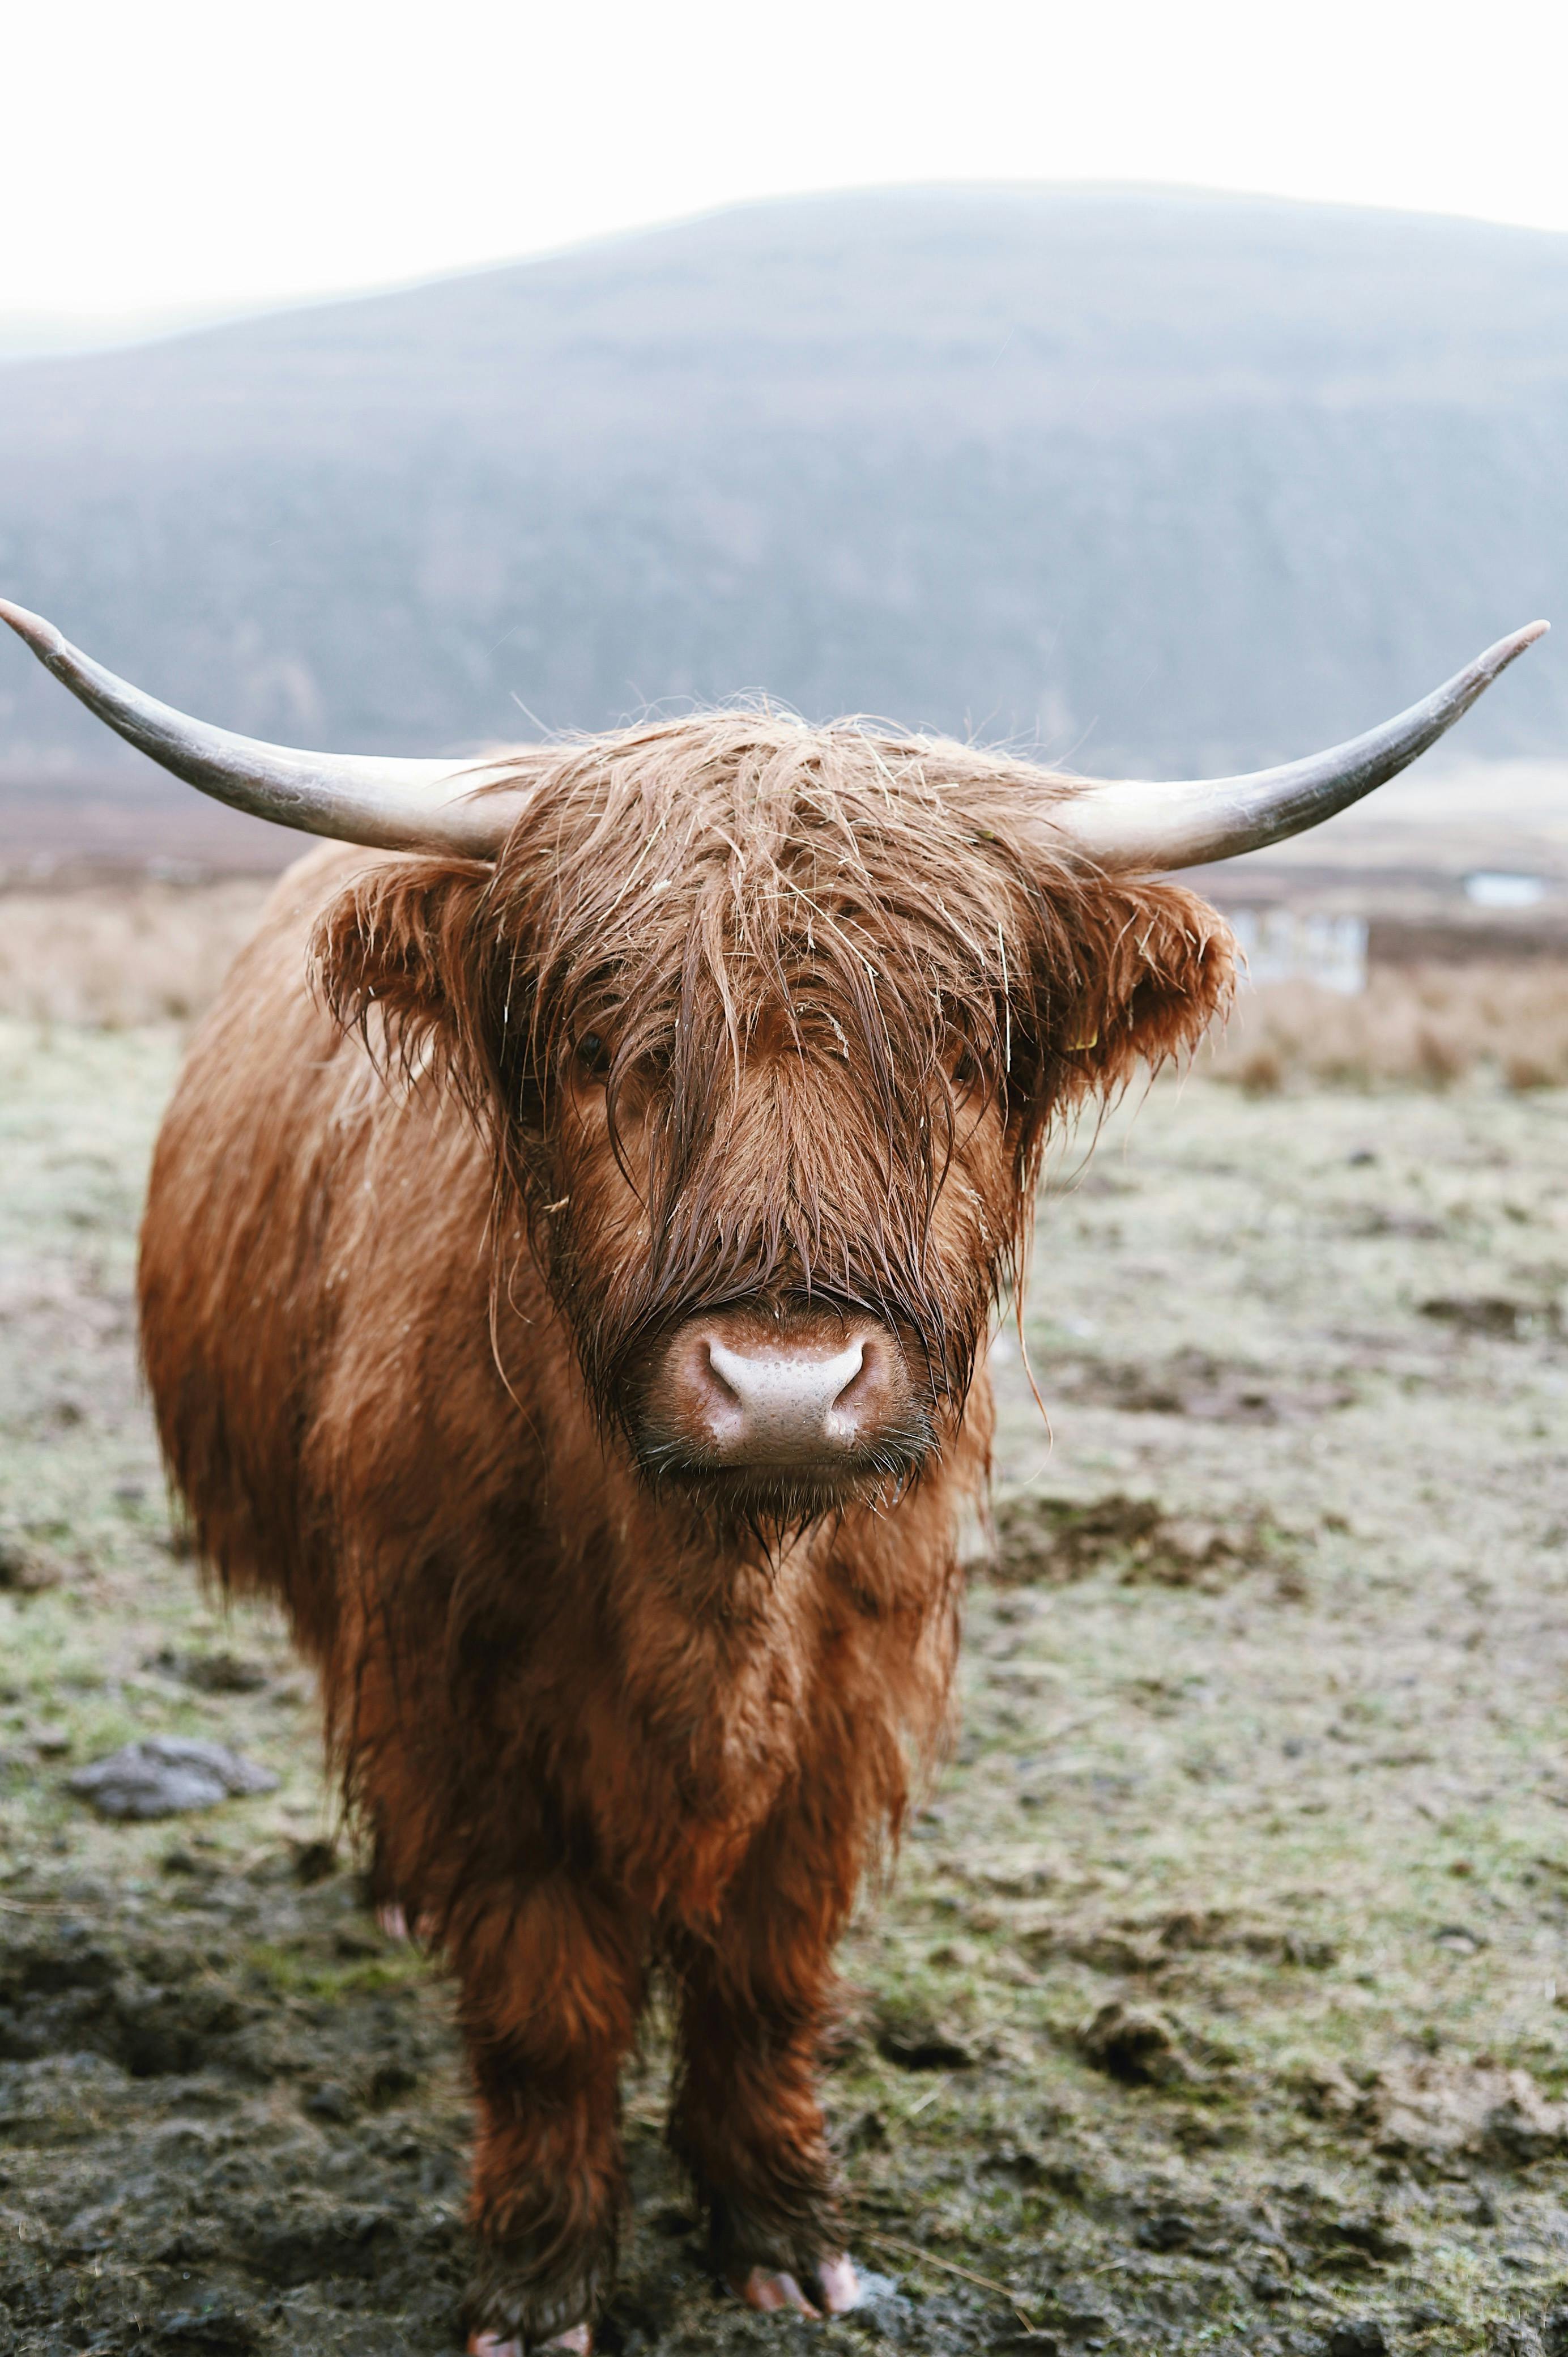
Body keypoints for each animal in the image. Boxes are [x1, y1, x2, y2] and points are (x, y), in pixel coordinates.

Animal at [0, 600, 1546, 2352]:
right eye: (606, 1045)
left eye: (957, 1046)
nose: (789, 1389)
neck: (715, 1586)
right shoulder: (468, 1688)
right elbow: (543, 1998)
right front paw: (542, 2276)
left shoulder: (853, 1696)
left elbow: (765, 1975)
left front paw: (787, 2233)